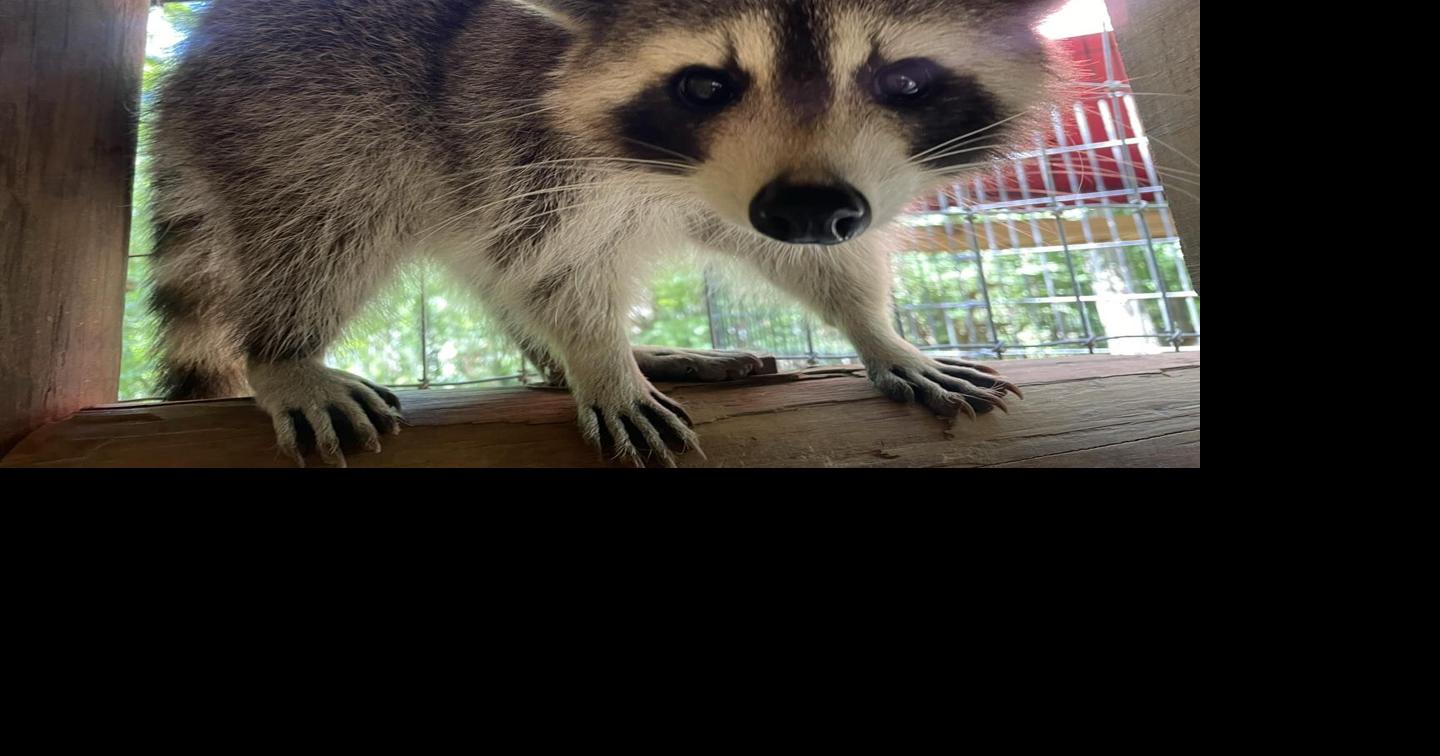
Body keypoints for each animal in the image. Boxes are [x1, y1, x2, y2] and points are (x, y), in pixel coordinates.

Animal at [147, 0, 1068, 466]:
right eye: (703, 85)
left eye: (905, 81)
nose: (812, 211)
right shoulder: (519, 126)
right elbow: (554, 261)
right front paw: (598, 358)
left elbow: (818, 258)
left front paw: (878, 332)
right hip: (299, 103)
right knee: (326, 223)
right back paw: (283, 352)